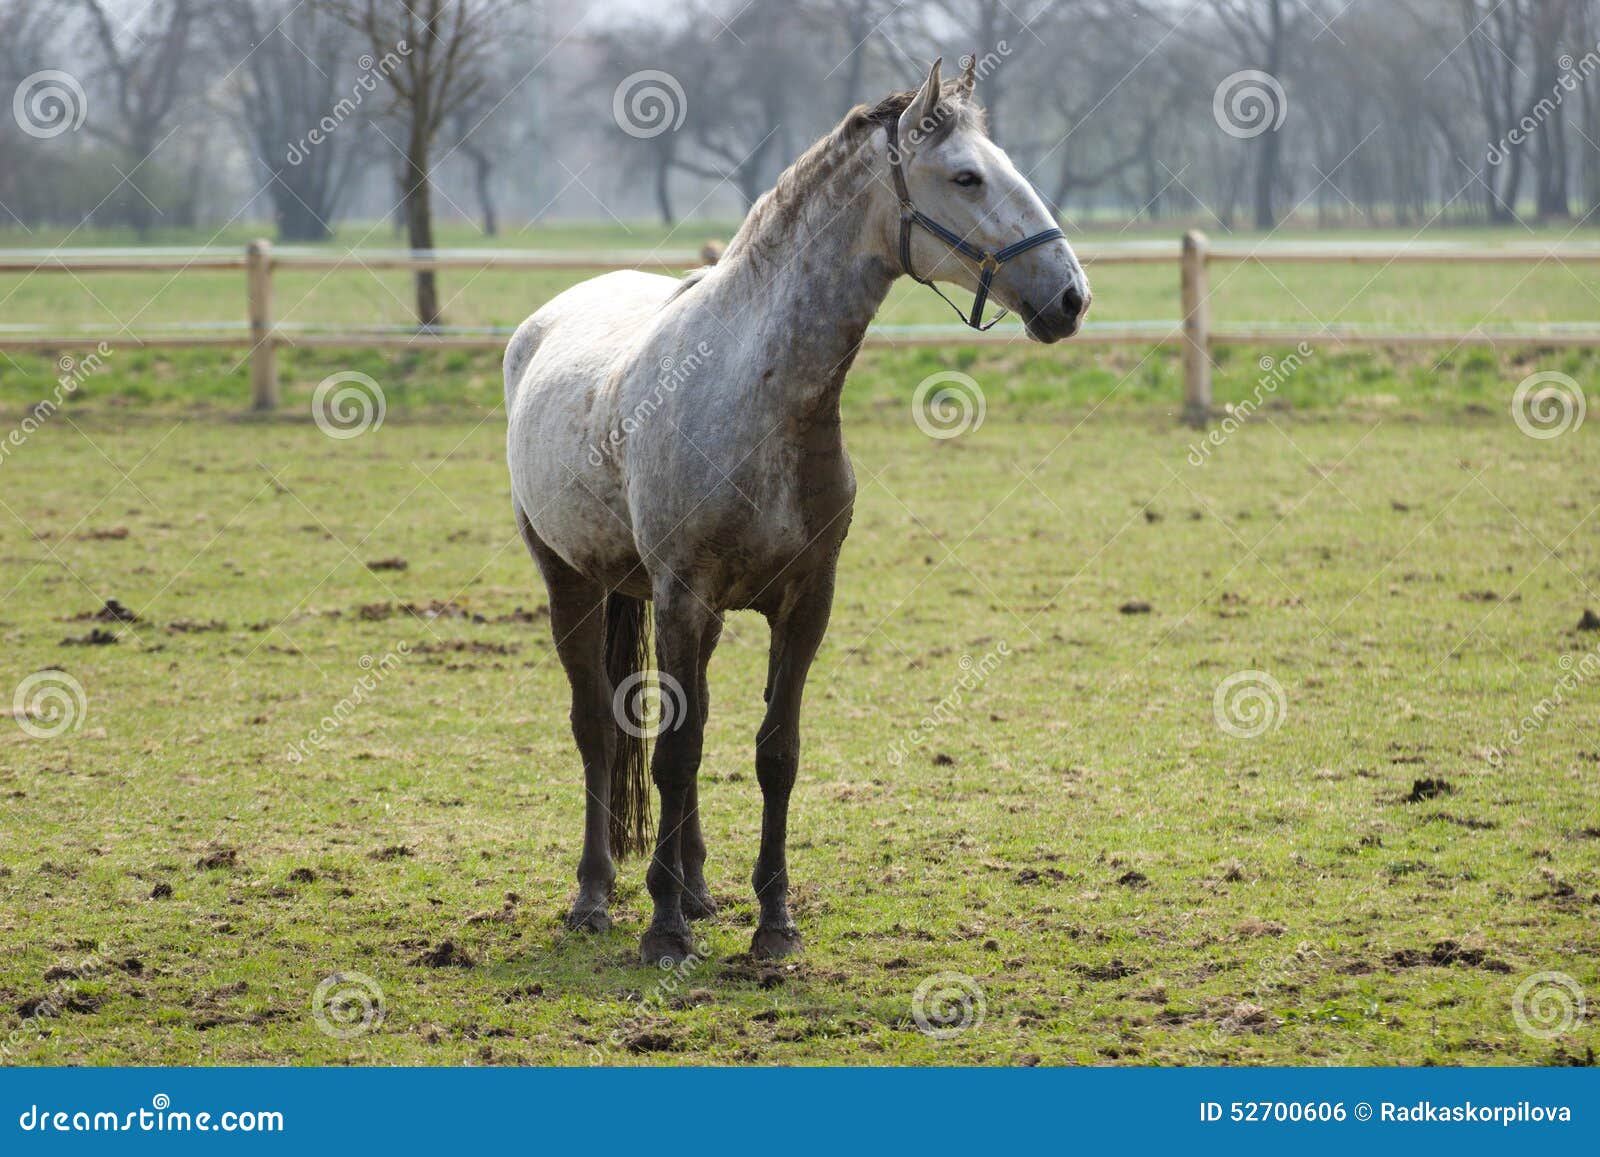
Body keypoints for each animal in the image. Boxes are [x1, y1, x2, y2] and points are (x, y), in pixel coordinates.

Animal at [504, 57, 1090, 965]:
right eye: (967, 175)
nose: (1069, 296)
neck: (756, 389)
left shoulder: (805, 601)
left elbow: (771, 752)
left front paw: (771, 923)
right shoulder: (680, 596)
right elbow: (672, 755)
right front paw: (664, 931)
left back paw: (695, 886)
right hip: (571, 581)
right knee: (599, 730)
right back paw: (597, 896)